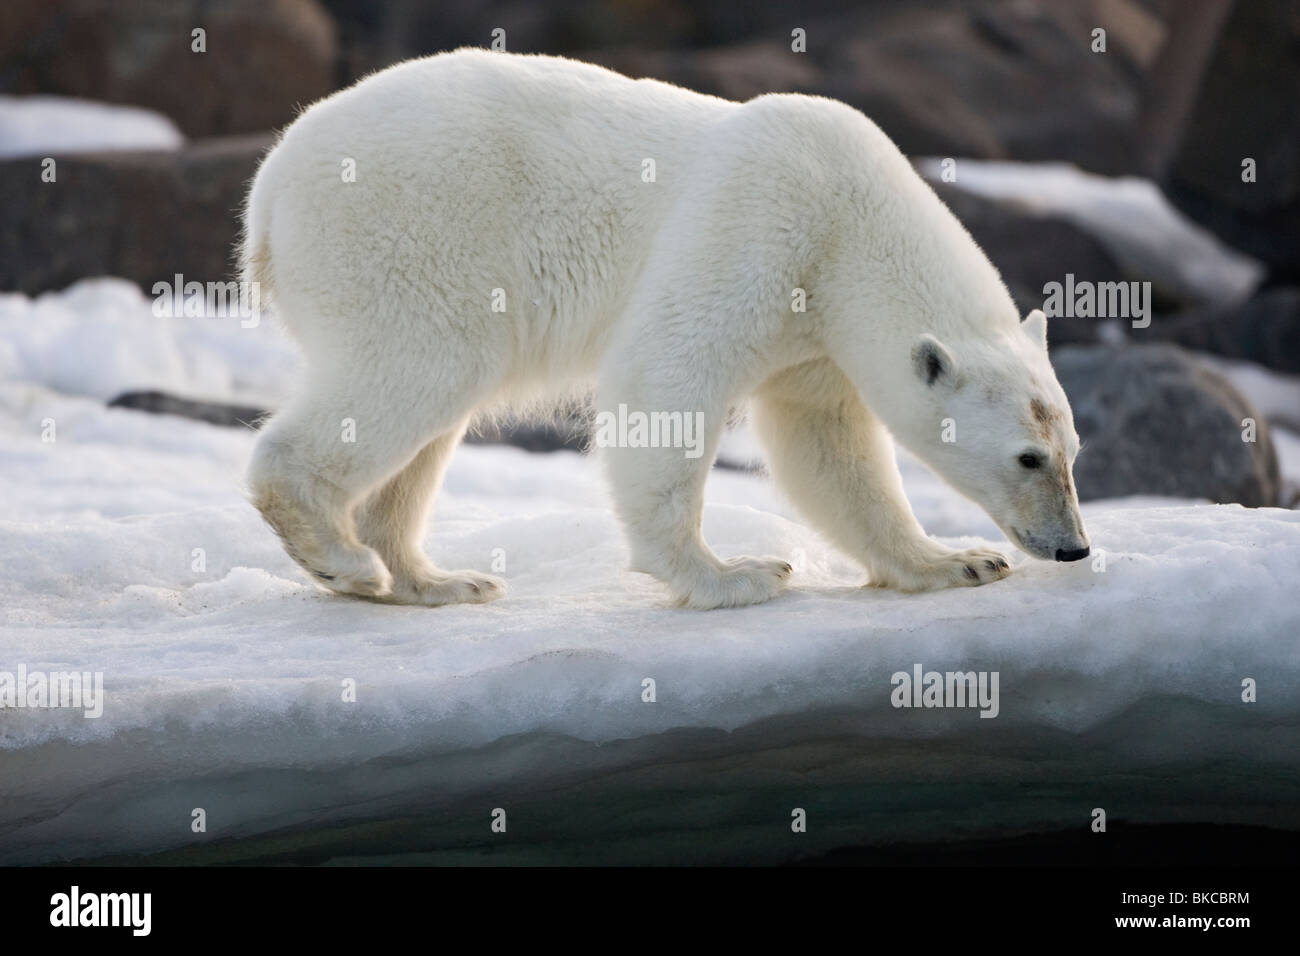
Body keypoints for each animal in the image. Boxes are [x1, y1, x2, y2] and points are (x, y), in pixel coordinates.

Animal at [241, 49, 1091, 610]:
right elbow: (667, 374)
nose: (1073, 545)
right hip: (409, 238)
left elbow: (826, 443)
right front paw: (737, 574)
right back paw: (345, 561)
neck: (851, 220)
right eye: (1027, 456)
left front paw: (957, 562)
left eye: (1073, 450)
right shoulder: (762, 223)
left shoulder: (816, 334)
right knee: (418, 372)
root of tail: (268, 188)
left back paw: (438, 579)